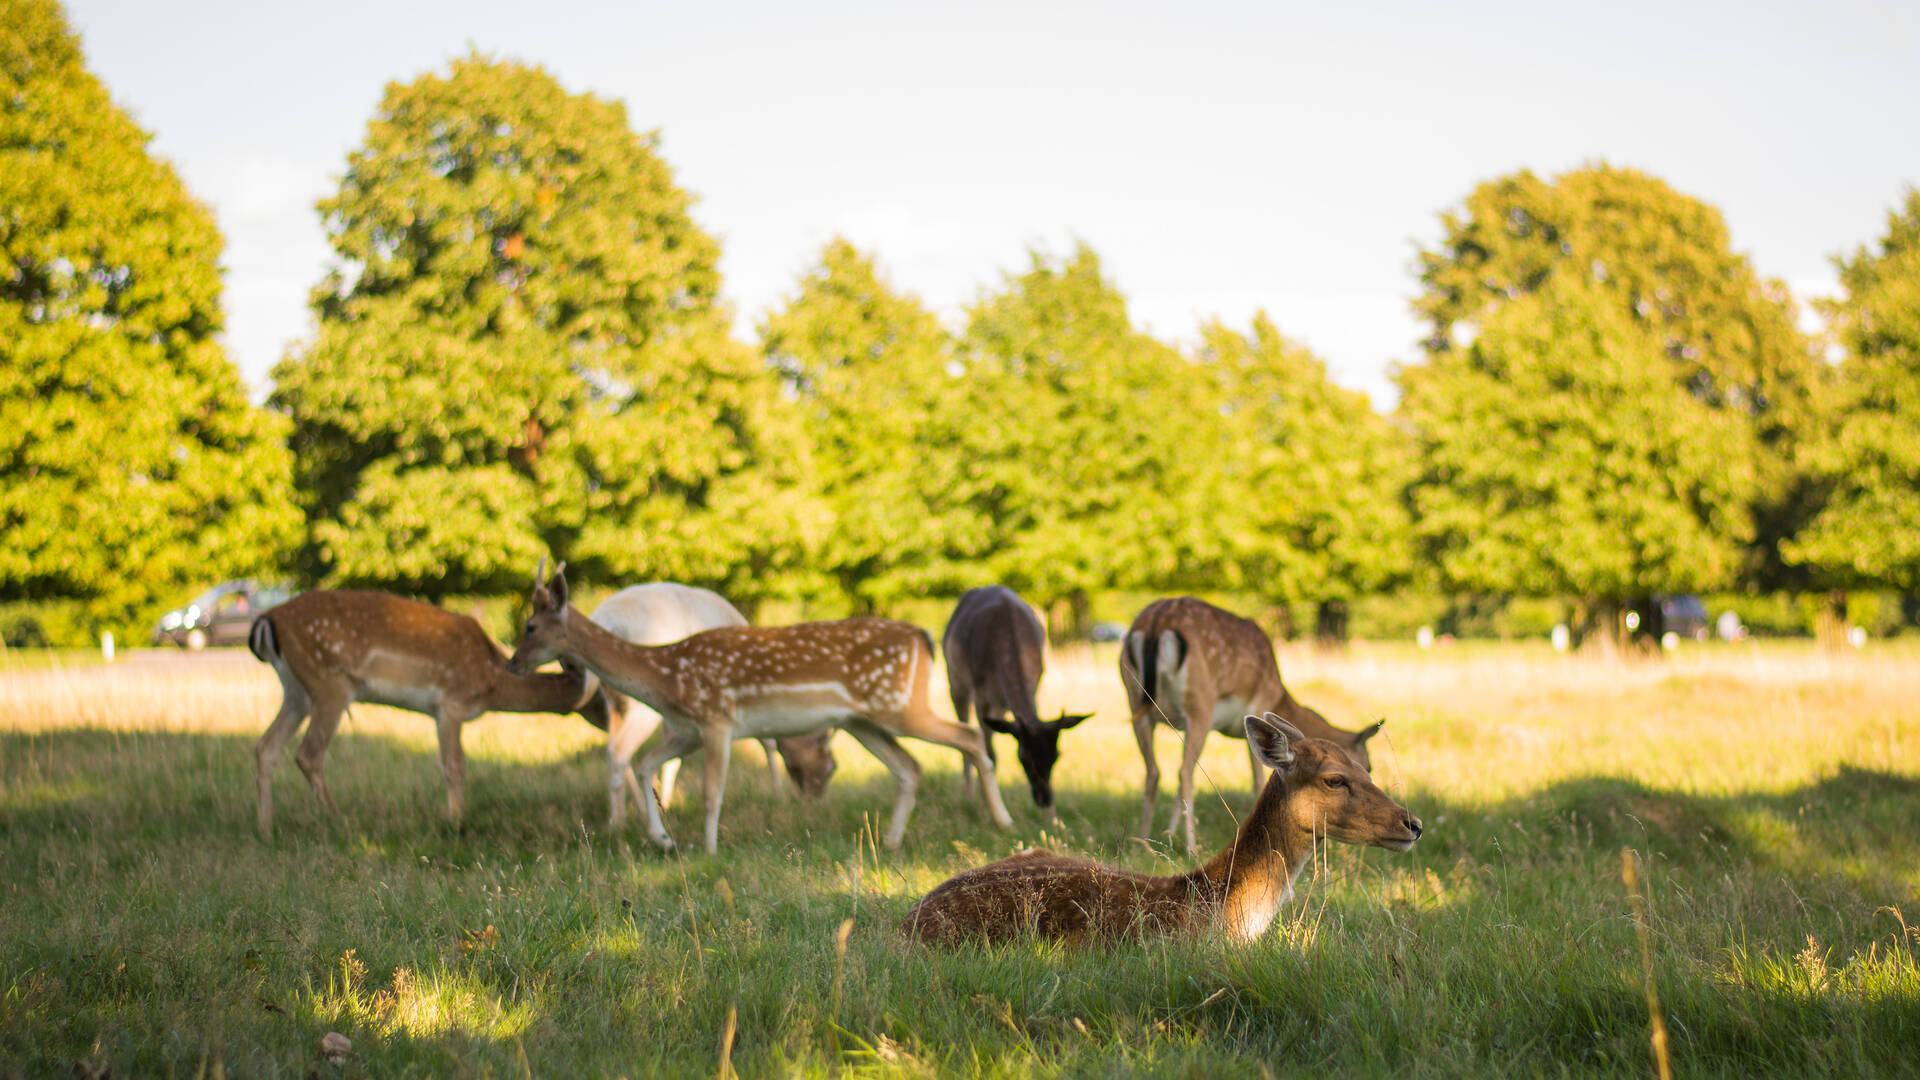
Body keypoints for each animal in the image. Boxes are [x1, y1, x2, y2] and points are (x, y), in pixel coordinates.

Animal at [248, 589, 614, 836]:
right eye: (602, 696)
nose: (614, 719)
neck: (491, 682)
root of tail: (266, 621)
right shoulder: (450, 703)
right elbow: (455, 766)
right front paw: (456, 821)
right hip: (329, 683)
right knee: (308, 753)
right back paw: (339, 820)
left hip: (295, 689)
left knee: (266, 745)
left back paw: (265, 828)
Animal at [588, 583, 837, 808]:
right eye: (831, 767)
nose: (816, 799)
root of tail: (605, 618)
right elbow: (768, 741)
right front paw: (778, 794)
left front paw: (666, 802)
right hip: (640, 699)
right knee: (619, 750)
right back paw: (619, 821)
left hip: (613, 697)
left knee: (612, 746)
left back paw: (636, 808)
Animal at [942, 585, 1092, 819]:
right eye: (1024, 758)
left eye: (1056, 756)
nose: (1044, 799)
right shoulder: (980, 693)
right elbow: (990, 754)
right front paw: (990, 810)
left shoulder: (1036, 683)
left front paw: (1052, 818)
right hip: (955, 681)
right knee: (964, 732)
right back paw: (969, 796)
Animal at [1121, 596, 1385, 854]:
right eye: (1367, 767)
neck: (1279, 696)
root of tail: (1156, 625)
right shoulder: (1258, 709)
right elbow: (1258, 778)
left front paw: (1167, 837)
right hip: (1200, 704)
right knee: (1184, 772)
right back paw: (1192, 849)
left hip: (1135, 704)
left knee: (1154, 772)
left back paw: (1140, 845)